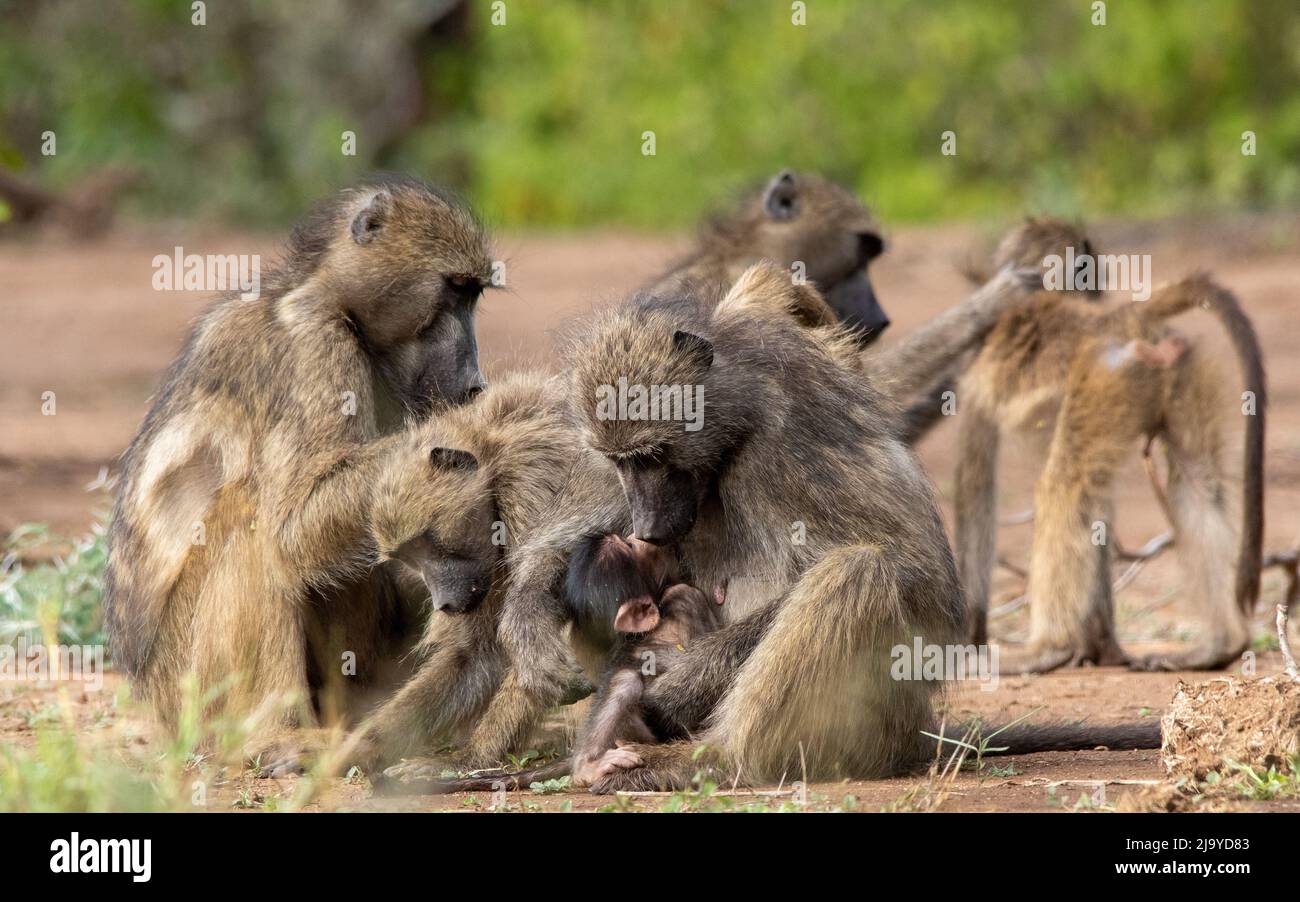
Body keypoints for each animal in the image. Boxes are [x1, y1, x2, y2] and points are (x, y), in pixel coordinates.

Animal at [103, 175, 495, 771]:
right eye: (453, 291)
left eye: (473, 295)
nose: (474, 382)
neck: (331, 299)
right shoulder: (312, 340)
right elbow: (294, 522)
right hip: (186, 693)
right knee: (256, 523)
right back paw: (273, 736)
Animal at [954, 218, 1267, 673]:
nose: (1099, 289)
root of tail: (1122, 318)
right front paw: (1102, 648)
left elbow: (975, 489)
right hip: (1175, 373)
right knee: (1194, 482)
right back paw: (1217, 647)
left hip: (1107, 373)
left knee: (1062, 487)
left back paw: (1048, 647)